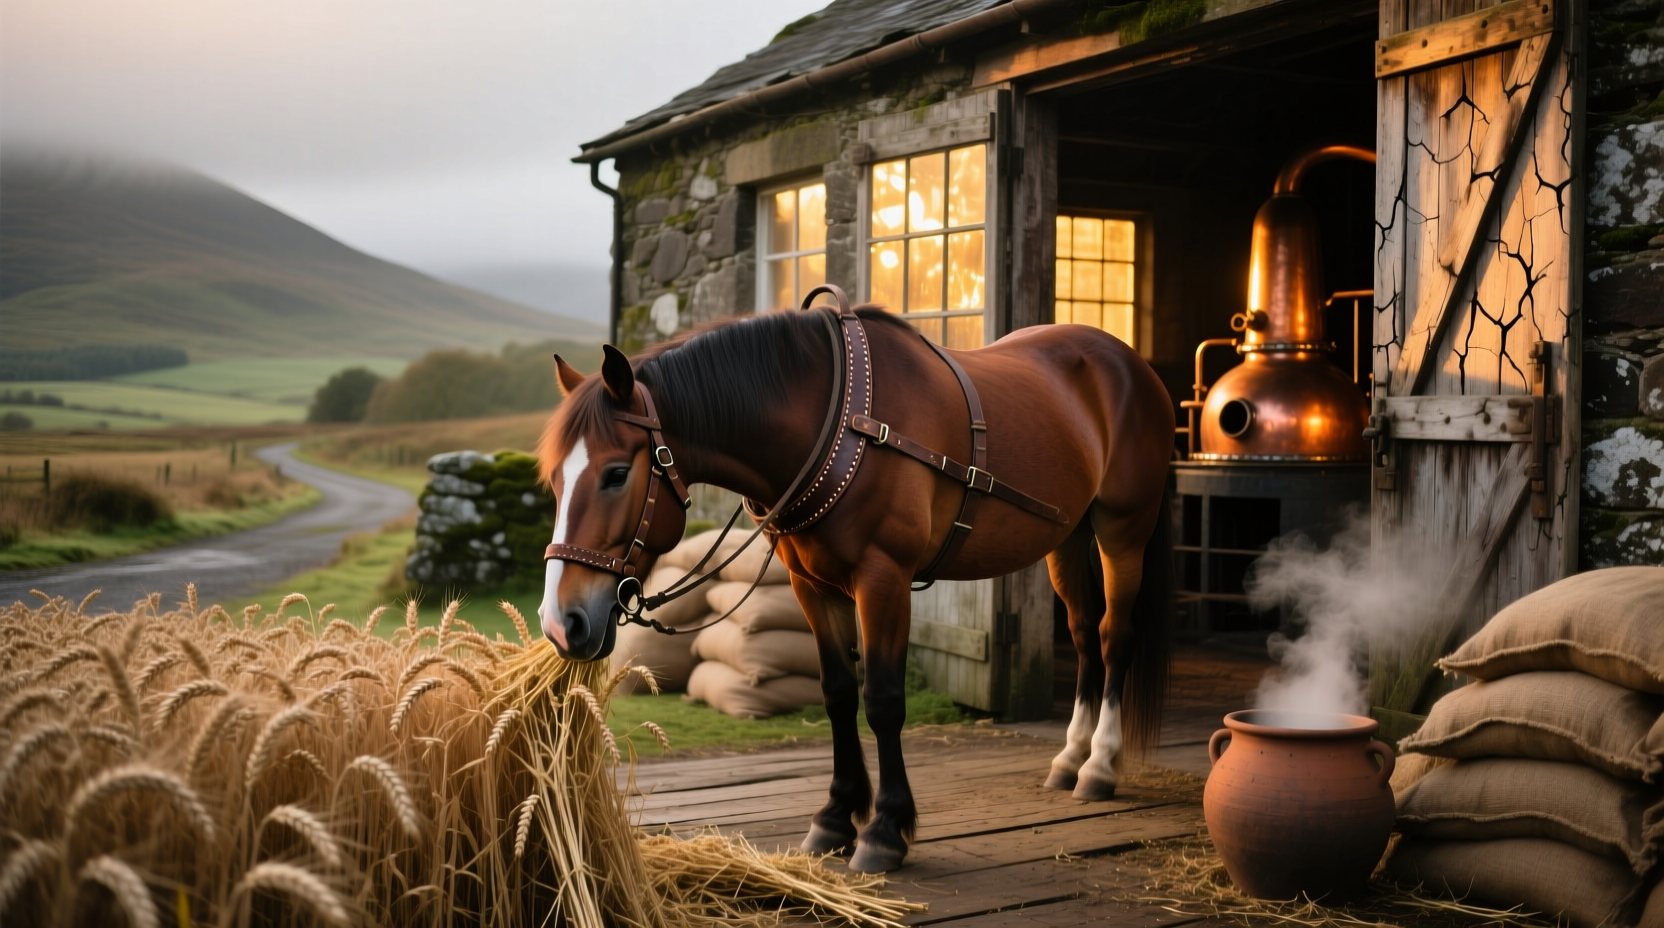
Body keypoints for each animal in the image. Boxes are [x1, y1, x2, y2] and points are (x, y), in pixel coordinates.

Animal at [536, 287, 1174, 873]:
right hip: (1068, 536)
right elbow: (839, 693)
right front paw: (836, 818)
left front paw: (886, 830)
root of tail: (1129, 362)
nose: (562, 623)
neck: (839, 419)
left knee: (1114, 636)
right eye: (554, 479)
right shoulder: (811, 585)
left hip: (1122, 530)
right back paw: (1070, 758)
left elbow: (883, 699)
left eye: (617, 473)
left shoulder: (883, 579)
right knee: (1084, 634)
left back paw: (1100, 764)